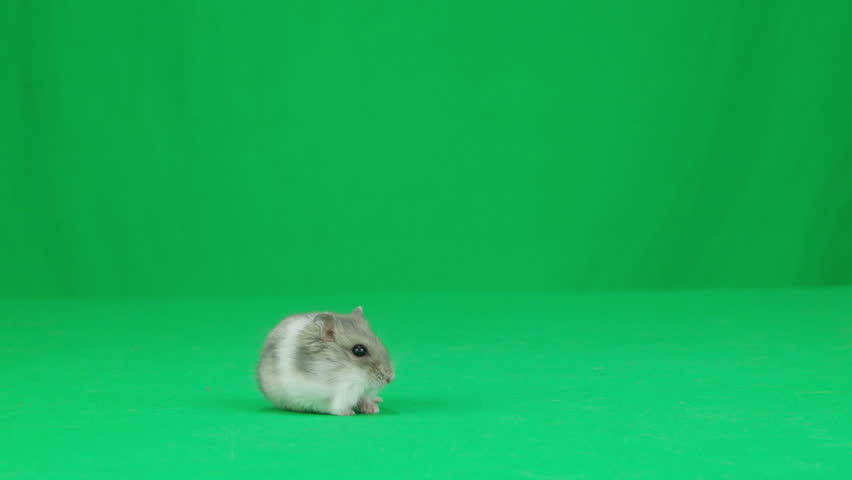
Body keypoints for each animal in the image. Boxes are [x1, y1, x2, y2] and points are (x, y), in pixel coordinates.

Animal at [256, 306, 395, 416]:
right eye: (359, 350)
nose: (390, 378)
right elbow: (334, 406)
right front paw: (349, 412)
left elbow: (365, 398)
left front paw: (373, 409)